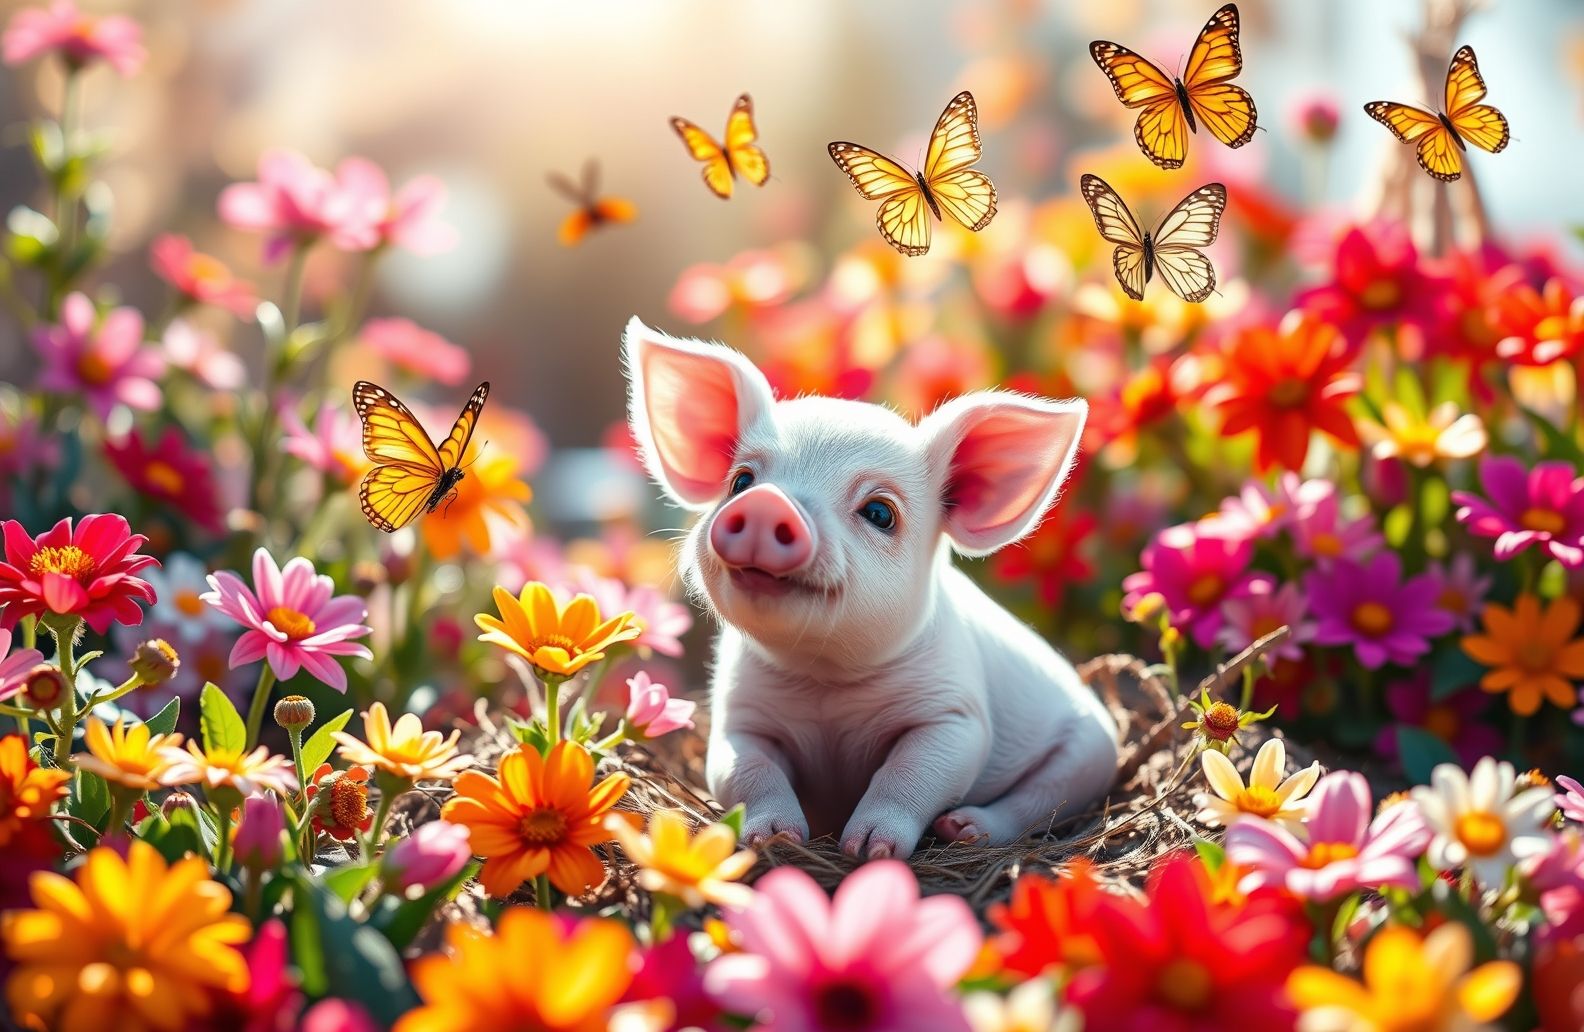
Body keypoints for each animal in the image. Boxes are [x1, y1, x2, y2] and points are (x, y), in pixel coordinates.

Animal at [623, 316, 1119, 860]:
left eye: (880, 512)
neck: (824, 678)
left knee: (1039, 802)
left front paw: (869, 851)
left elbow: (913, 771)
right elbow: (745, 771)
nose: (767, 503)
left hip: (1092, 753)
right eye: (741, 482)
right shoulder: (738, 718)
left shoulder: (955, 714)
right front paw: (775, 837)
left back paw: (964, 828)